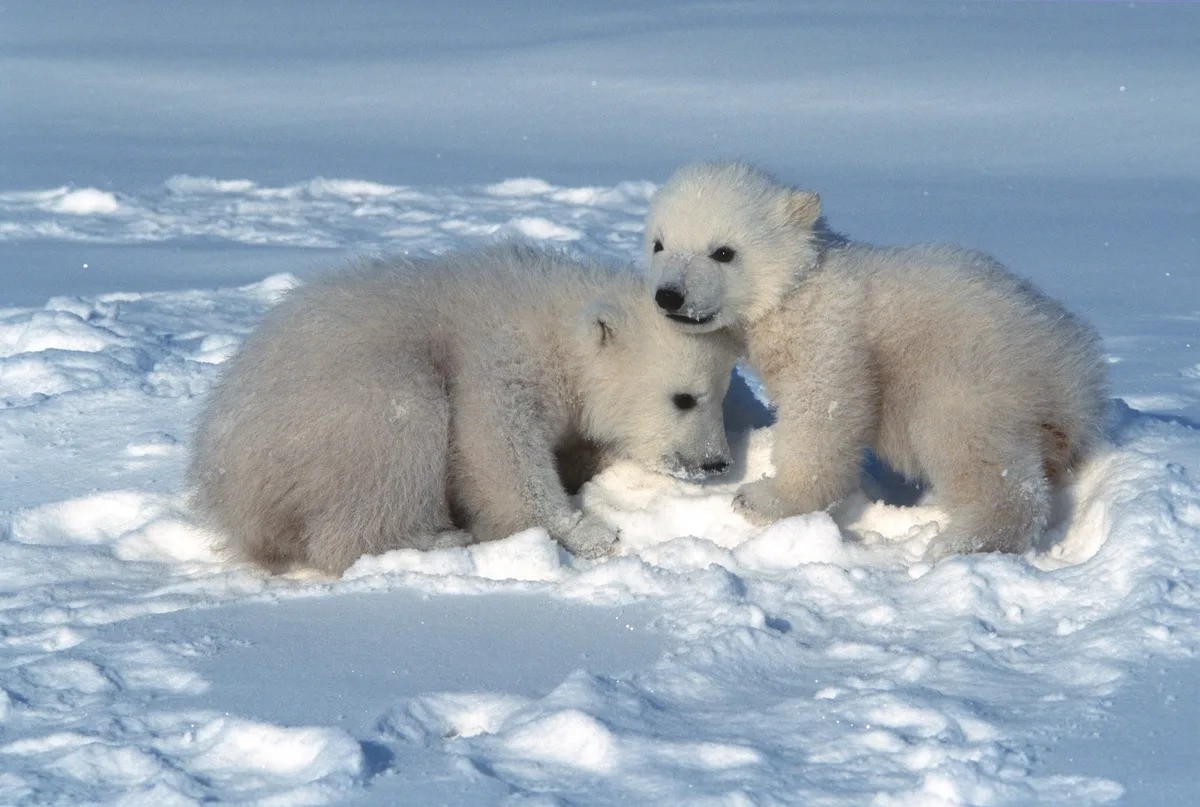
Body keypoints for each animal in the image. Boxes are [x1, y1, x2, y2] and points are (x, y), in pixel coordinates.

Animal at [189, 242, 740, 575]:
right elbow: (499, 448)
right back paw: (439, 539)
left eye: (722, 393)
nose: (716, 463)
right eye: (683, 398)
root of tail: (231, 493)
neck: (558, 324)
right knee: (396, 436)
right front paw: (587, 533)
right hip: (346, 407)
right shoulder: (500, 358)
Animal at [643, 162, 1108, 559]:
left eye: (724, 252)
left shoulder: (831, 335)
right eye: (659, 245)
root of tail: (1075, 374)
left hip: (973, 376)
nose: (669, 295)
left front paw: (762, 499)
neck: (798, 289)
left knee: (973, 452)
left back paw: (963, 541)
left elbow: (823, 414)